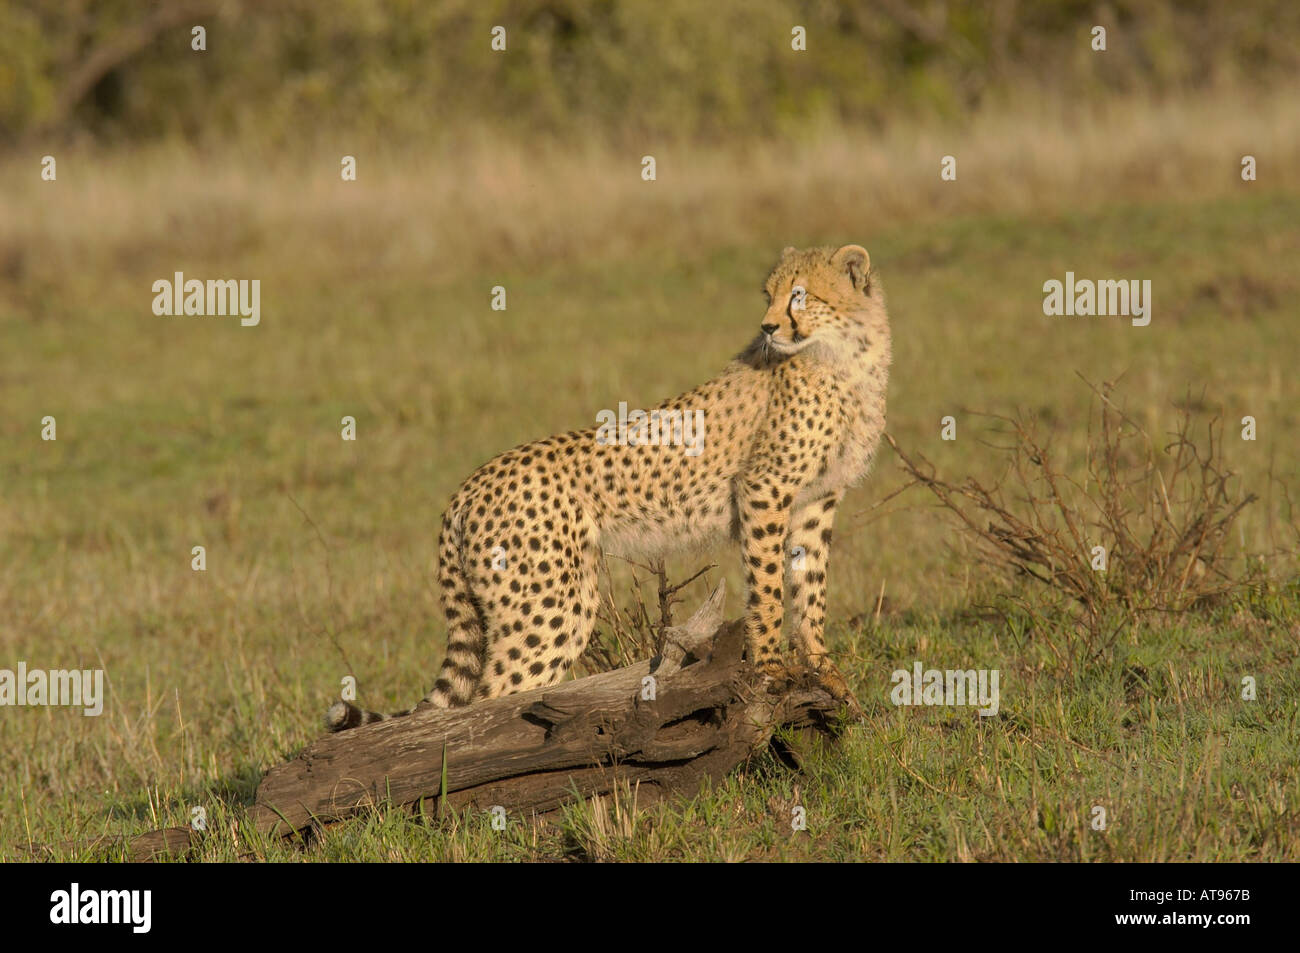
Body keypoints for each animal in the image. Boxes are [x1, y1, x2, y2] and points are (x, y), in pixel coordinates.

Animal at [326, 243, 890, 731]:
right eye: (769, 294)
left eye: (800, 294)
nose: (769, 326)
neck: (845, 356)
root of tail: (472, 481)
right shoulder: (764, 490)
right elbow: (769, 588)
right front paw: (771, 671)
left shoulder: (816, 502)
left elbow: (810, 592)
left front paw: (828, 677)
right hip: (552, 605)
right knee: (489, 702)